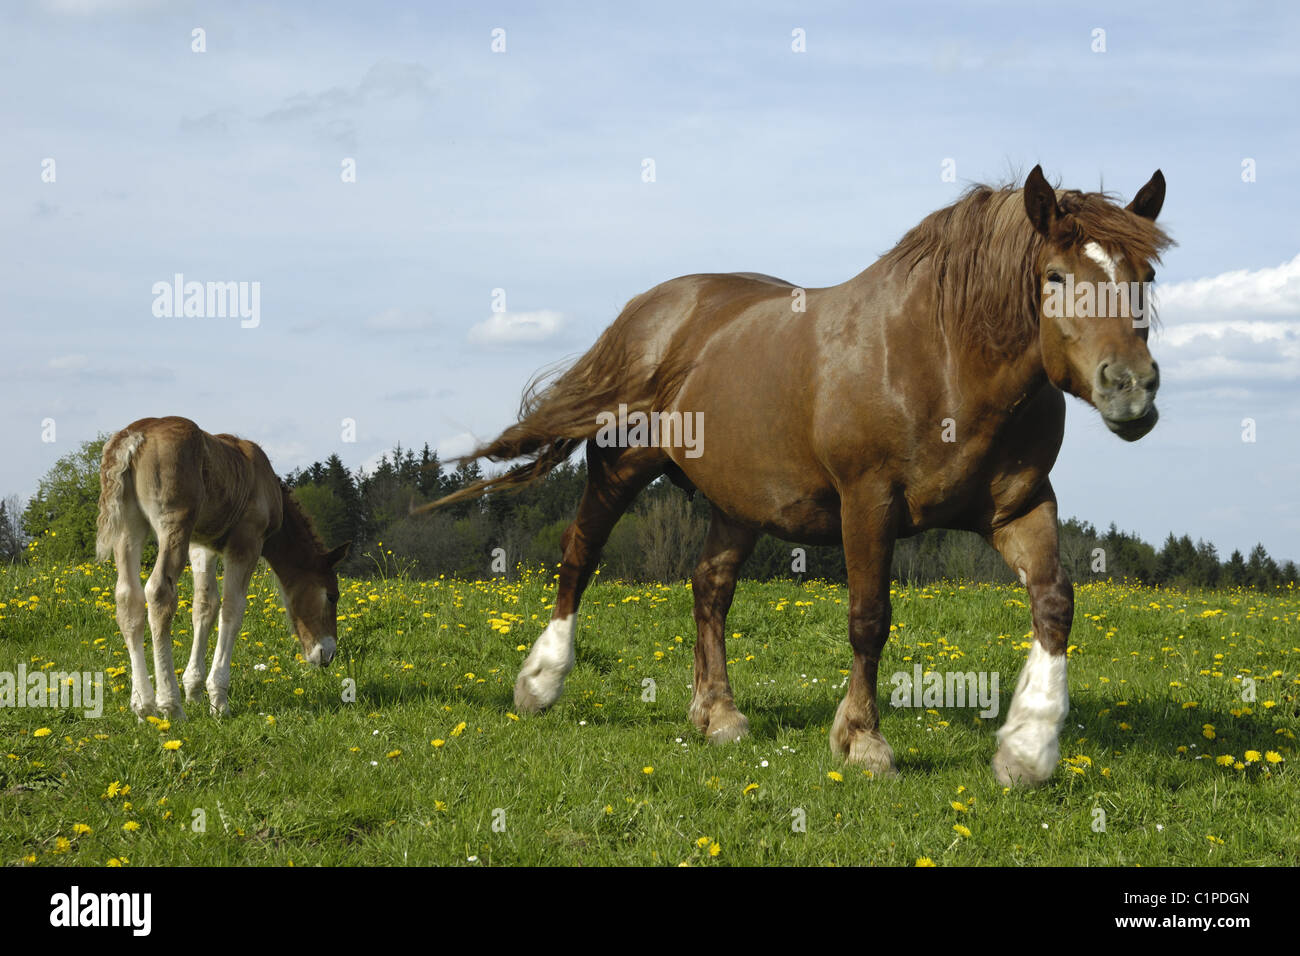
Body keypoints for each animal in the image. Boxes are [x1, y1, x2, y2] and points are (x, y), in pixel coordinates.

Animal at [96, 416, 349, 719]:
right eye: (332, 596)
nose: (328, 653)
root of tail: (135, 436)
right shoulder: (246, 542)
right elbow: (232, 608)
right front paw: (218, 700)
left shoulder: (201, 546)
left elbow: (204, 606)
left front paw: (194, 690)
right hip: (173, 525)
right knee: (159, 593)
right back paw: (170, 705)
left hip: (128, 528)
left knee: (127, 598)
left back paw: (143, 705)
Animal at [426, 165, 1172, 786]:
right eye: (1055, 276)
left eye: (1145, 276)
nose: (1131, 388)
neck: (944, 358)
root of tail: (655, 309)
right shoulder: (868, 501)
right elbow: (870, 618)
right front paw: (862, 740)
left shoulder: (1020, 506)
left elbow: (1054, 602)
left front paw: (1028, 747)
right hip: (621, 468)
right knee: (580, 554)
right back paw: (540, 681)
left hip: (737, 502)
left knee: (710, 588)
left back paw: (717, 714)